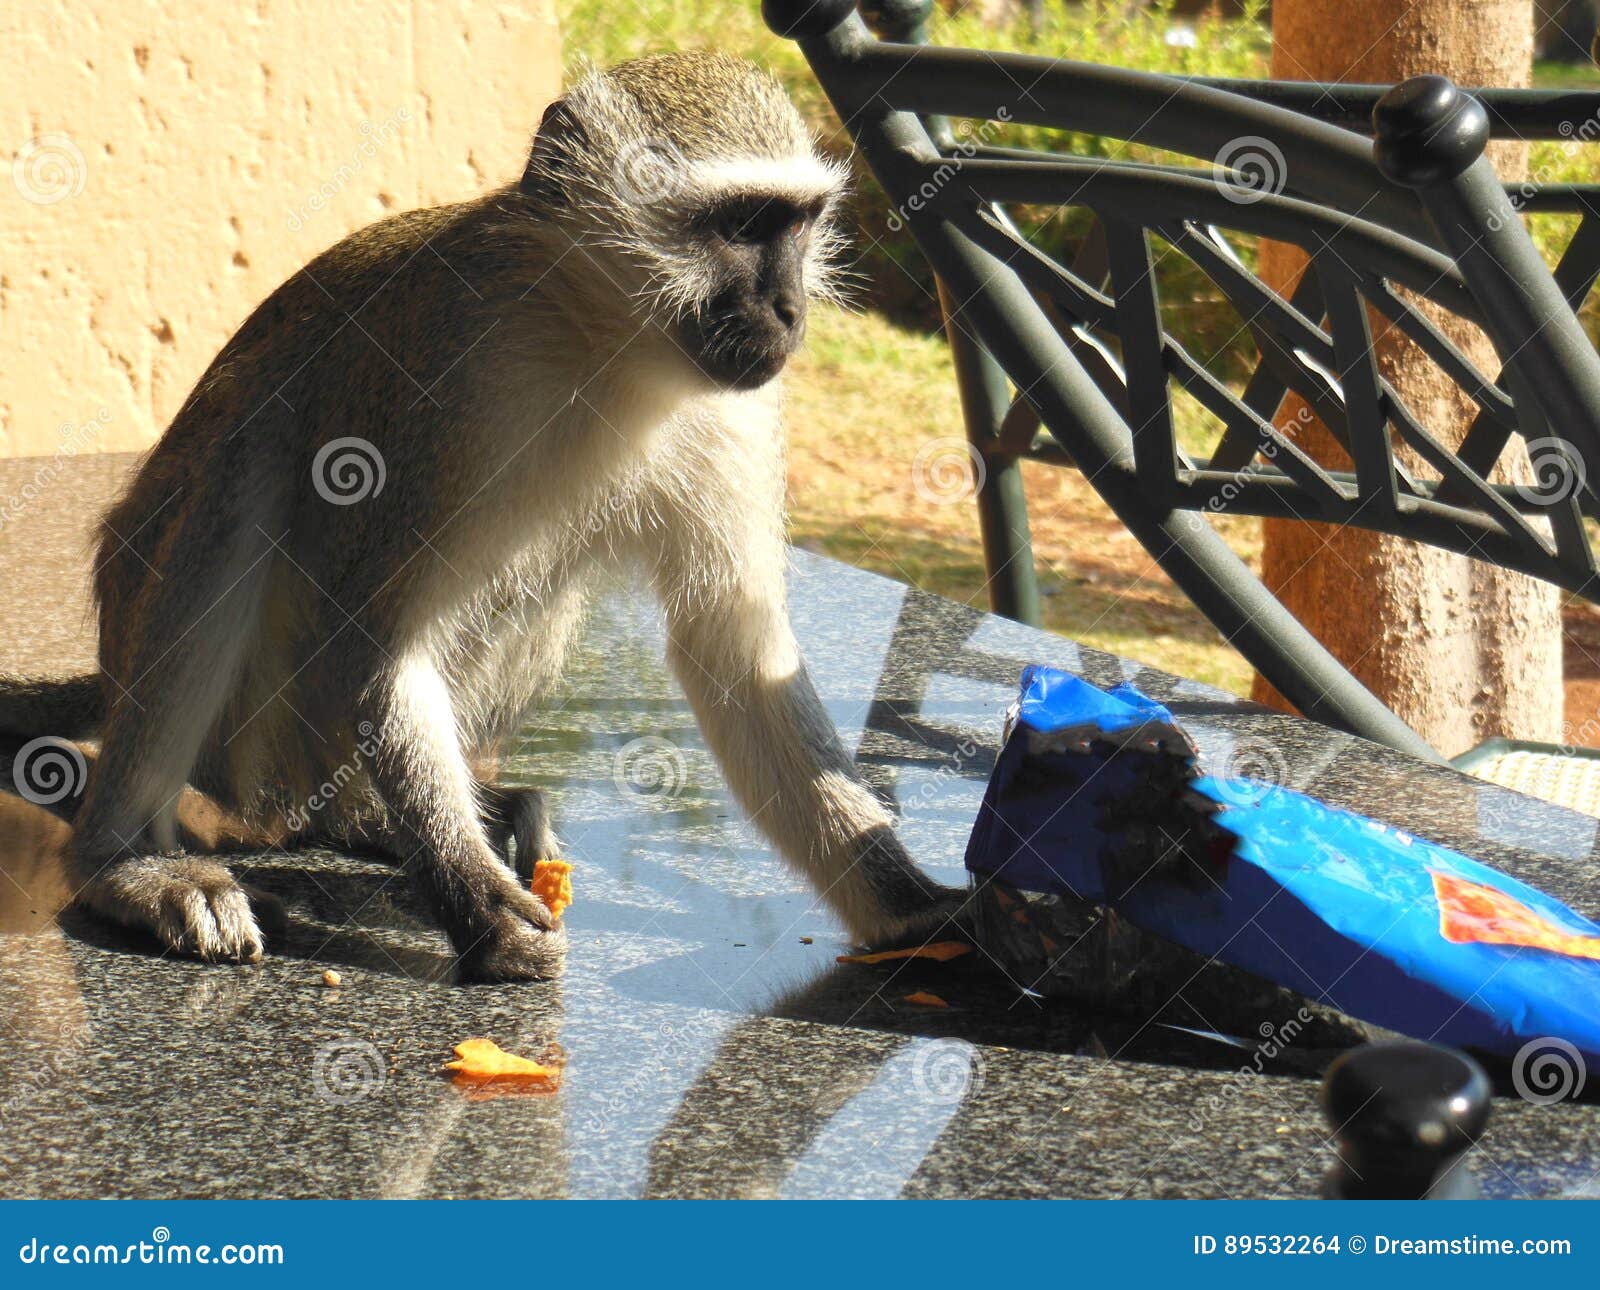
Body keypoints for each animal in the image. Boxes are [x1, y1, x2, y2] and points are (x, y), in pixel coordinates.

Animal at [0, 52, 963, 982]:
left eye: (797, 224)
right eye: (737, 226)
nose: (789, 310)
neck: (602, 342)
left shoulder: (737, 411)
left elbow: (731, 647)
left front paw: (917, 909)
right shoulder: (450, 376)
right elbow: (381, 647)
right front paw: (480, 907)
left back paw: (376, 820)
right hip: (253, 734)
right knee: (242, 472)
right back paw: (126, 863)